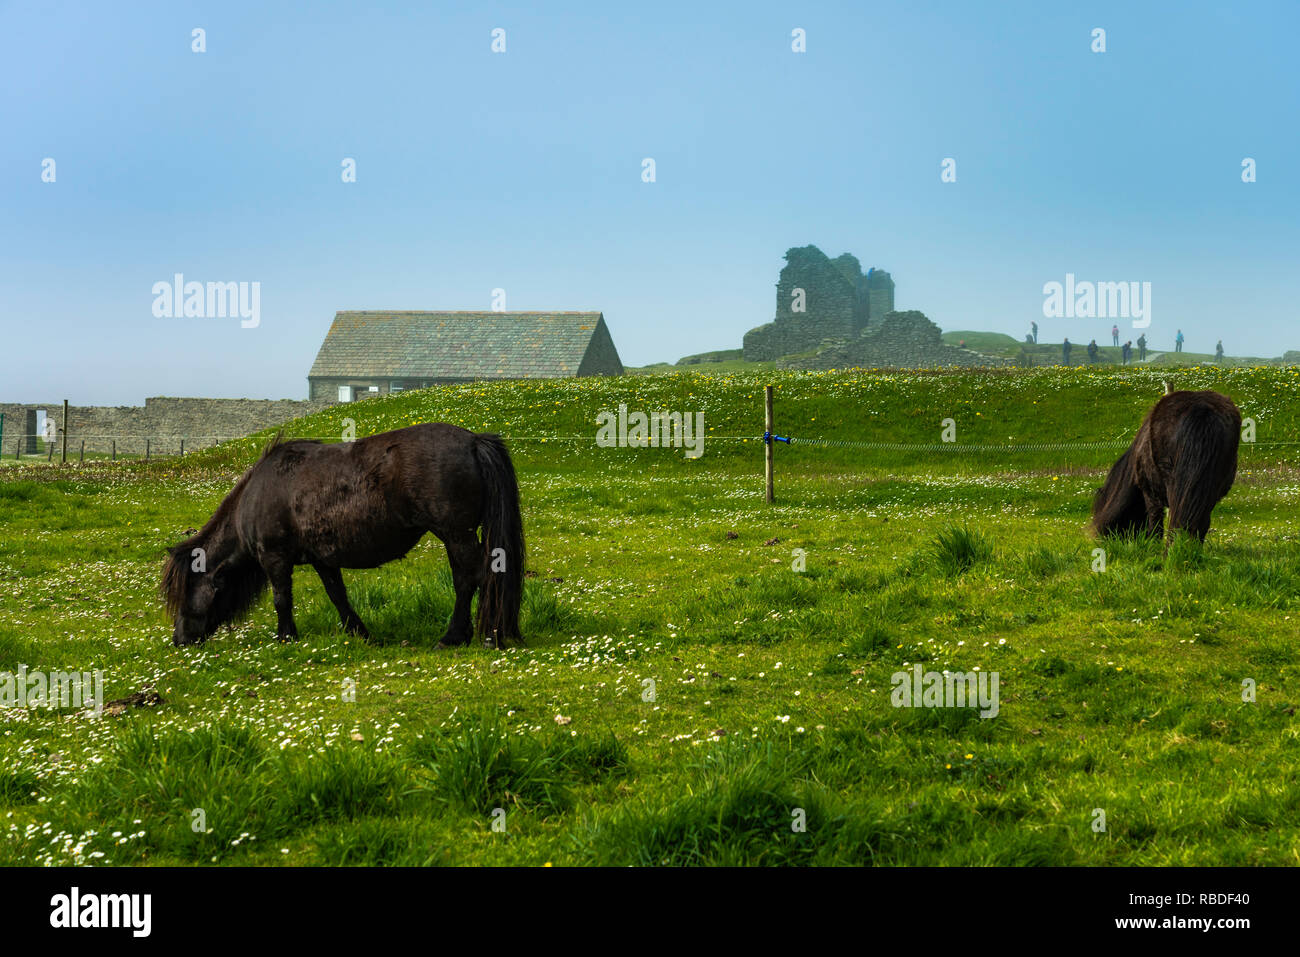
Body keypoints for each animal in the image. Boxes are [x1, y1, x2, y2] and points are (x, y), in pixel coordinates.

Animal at [162, 424, 525, 648]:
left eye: (186, 591)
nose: (180, 640)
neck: (258, 494)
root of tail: (474, 441)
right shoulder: (323, 559)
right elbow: (338, 595)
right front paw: (359, 632)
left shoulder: (275, 557)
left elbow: (282, 599)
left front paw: (286, 637)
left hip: (456, 534)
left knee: (470, 579)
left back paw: (459, 636)